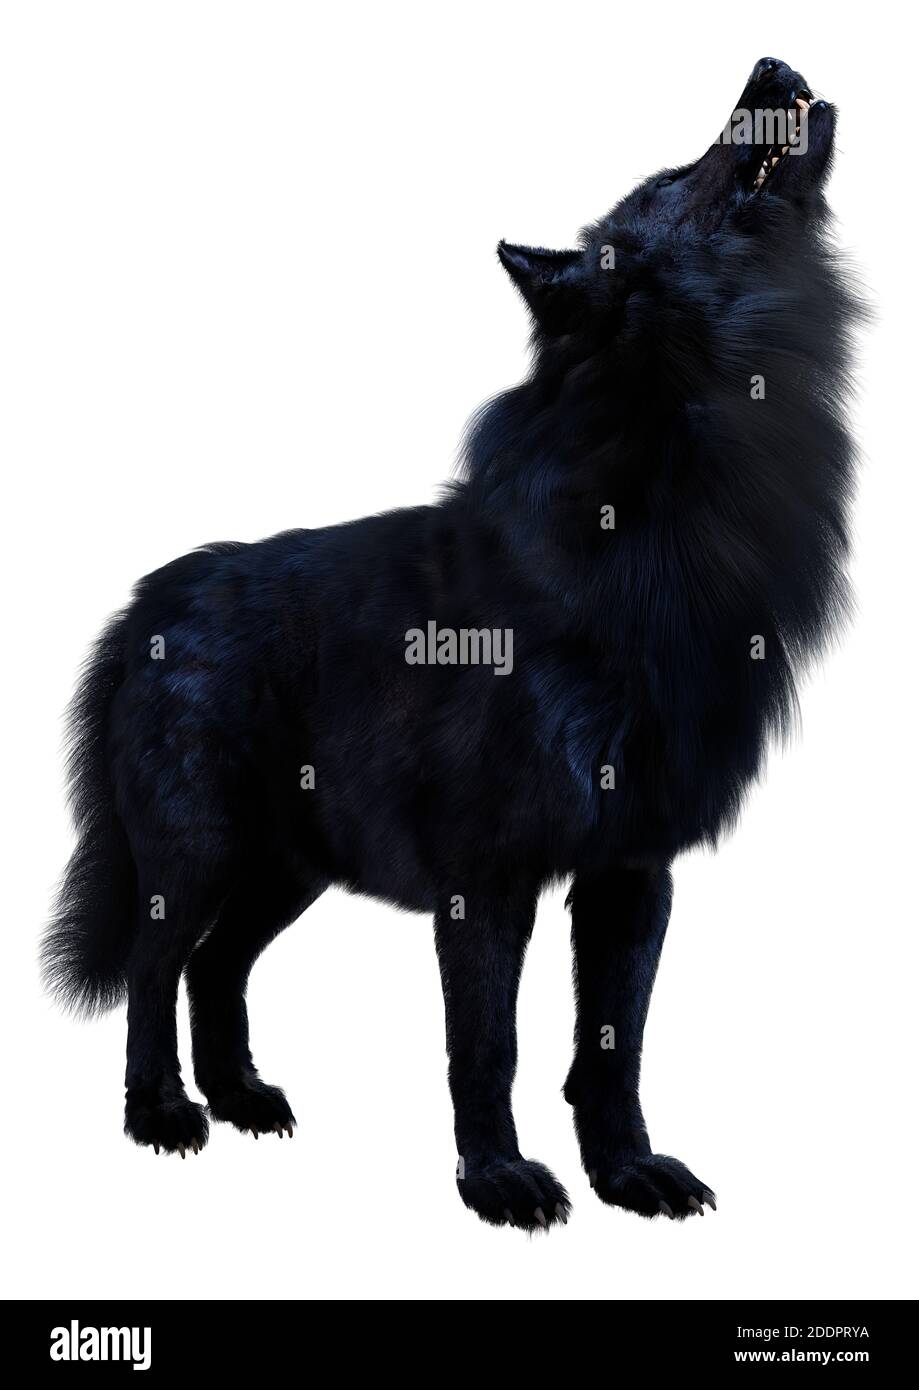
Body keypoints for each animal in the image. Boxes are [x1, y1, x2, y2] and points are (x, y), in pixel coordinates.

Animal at [44, 58, 860, 1230]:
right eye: (672, 177)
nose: (773, 65)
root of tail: (146, 602)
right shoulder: (492, 878)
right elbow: (489, 1047)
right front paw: (498, 1181)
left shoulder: (632, 867)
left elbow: (612, 1048)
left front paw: (627, 1173)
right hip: (197, 857)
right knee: (156, 972)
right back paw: (163, 1113)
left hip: (287, 871)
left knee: (216, 969)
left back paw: (242, 1097)